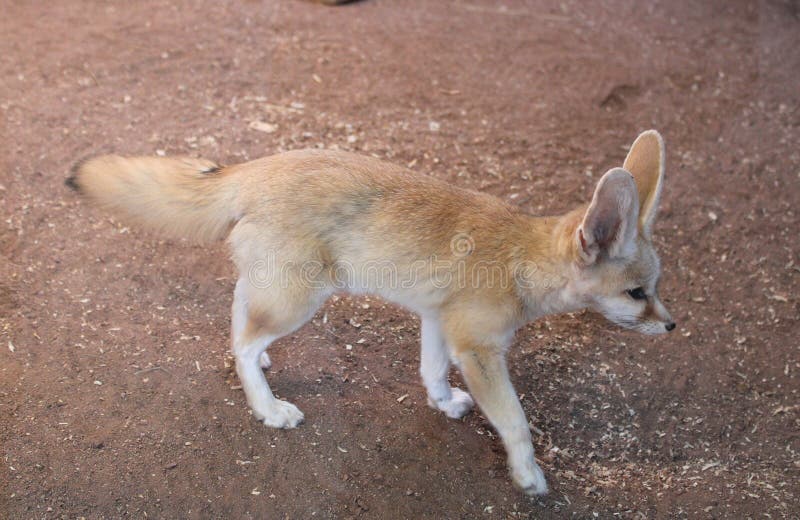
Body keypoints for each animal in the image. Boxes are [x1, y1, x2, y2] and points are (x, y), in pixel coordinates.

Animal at [67, 130, 674, 496]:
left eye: (656, 287)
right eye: (636, 294)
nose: (671, 325)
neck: (520, 260)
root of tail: (256, 166)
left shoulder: (438, 321)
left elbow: (431, 371)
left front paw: (443, 404)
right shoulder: (477, 347)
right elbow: (515, 421)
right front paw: (527, 476)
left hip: (280, 291)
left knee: (239, 318)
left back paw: (261, 368)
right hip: (300, 301)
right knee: (240, 341)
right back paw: (268, 408)